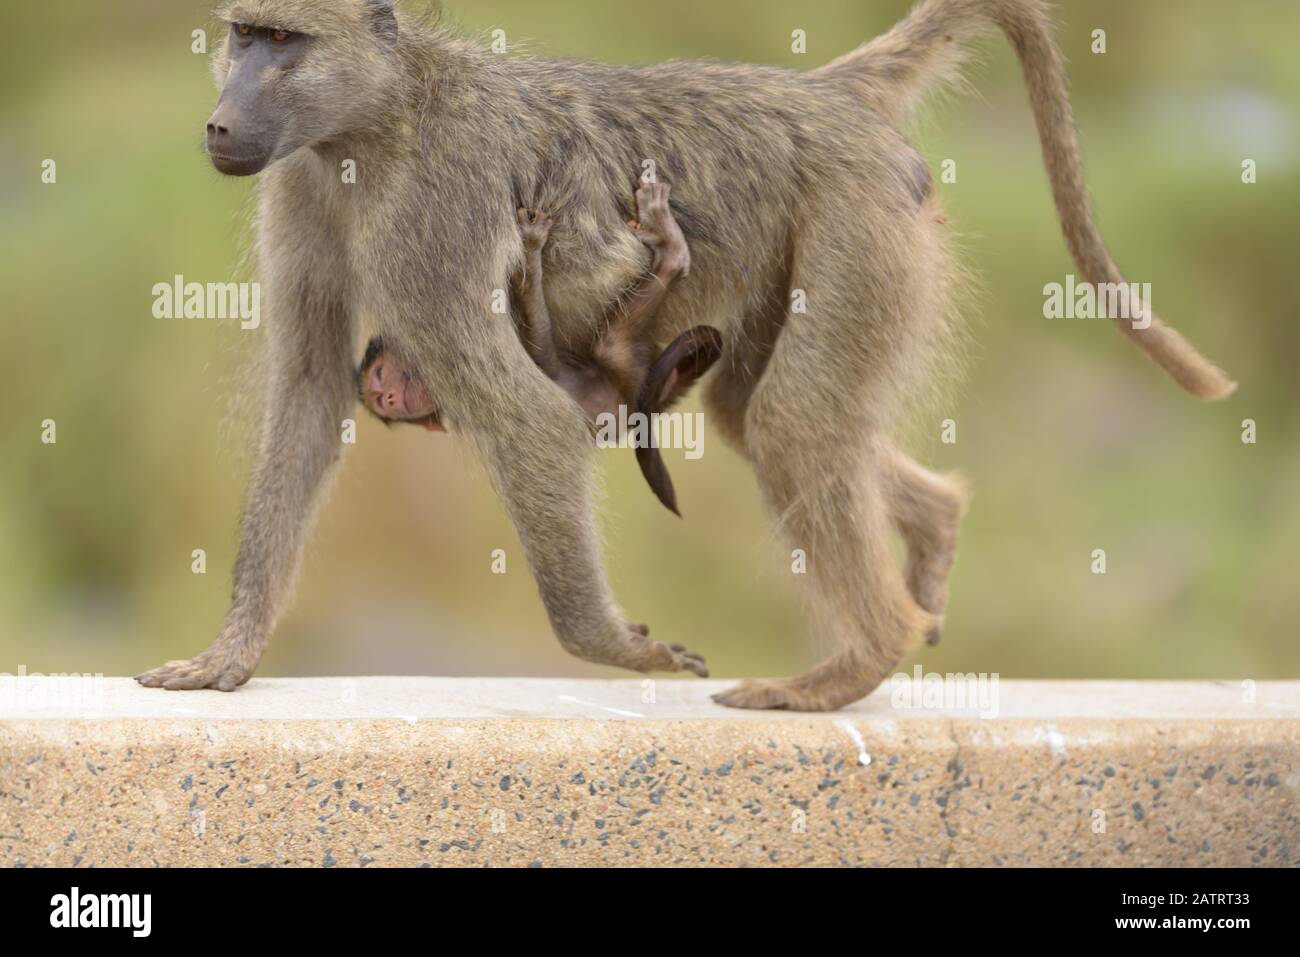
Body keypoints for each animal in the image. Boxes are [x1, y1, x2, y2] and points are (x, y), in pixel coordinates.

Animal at [357, 182, 724, 516]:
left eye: (379, 377)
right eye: (382, 402)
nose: (389, 397)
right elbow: (544, 359)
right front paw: (530, 250)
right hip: (623, 375)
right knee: (608, 345)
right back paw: (673, 254)